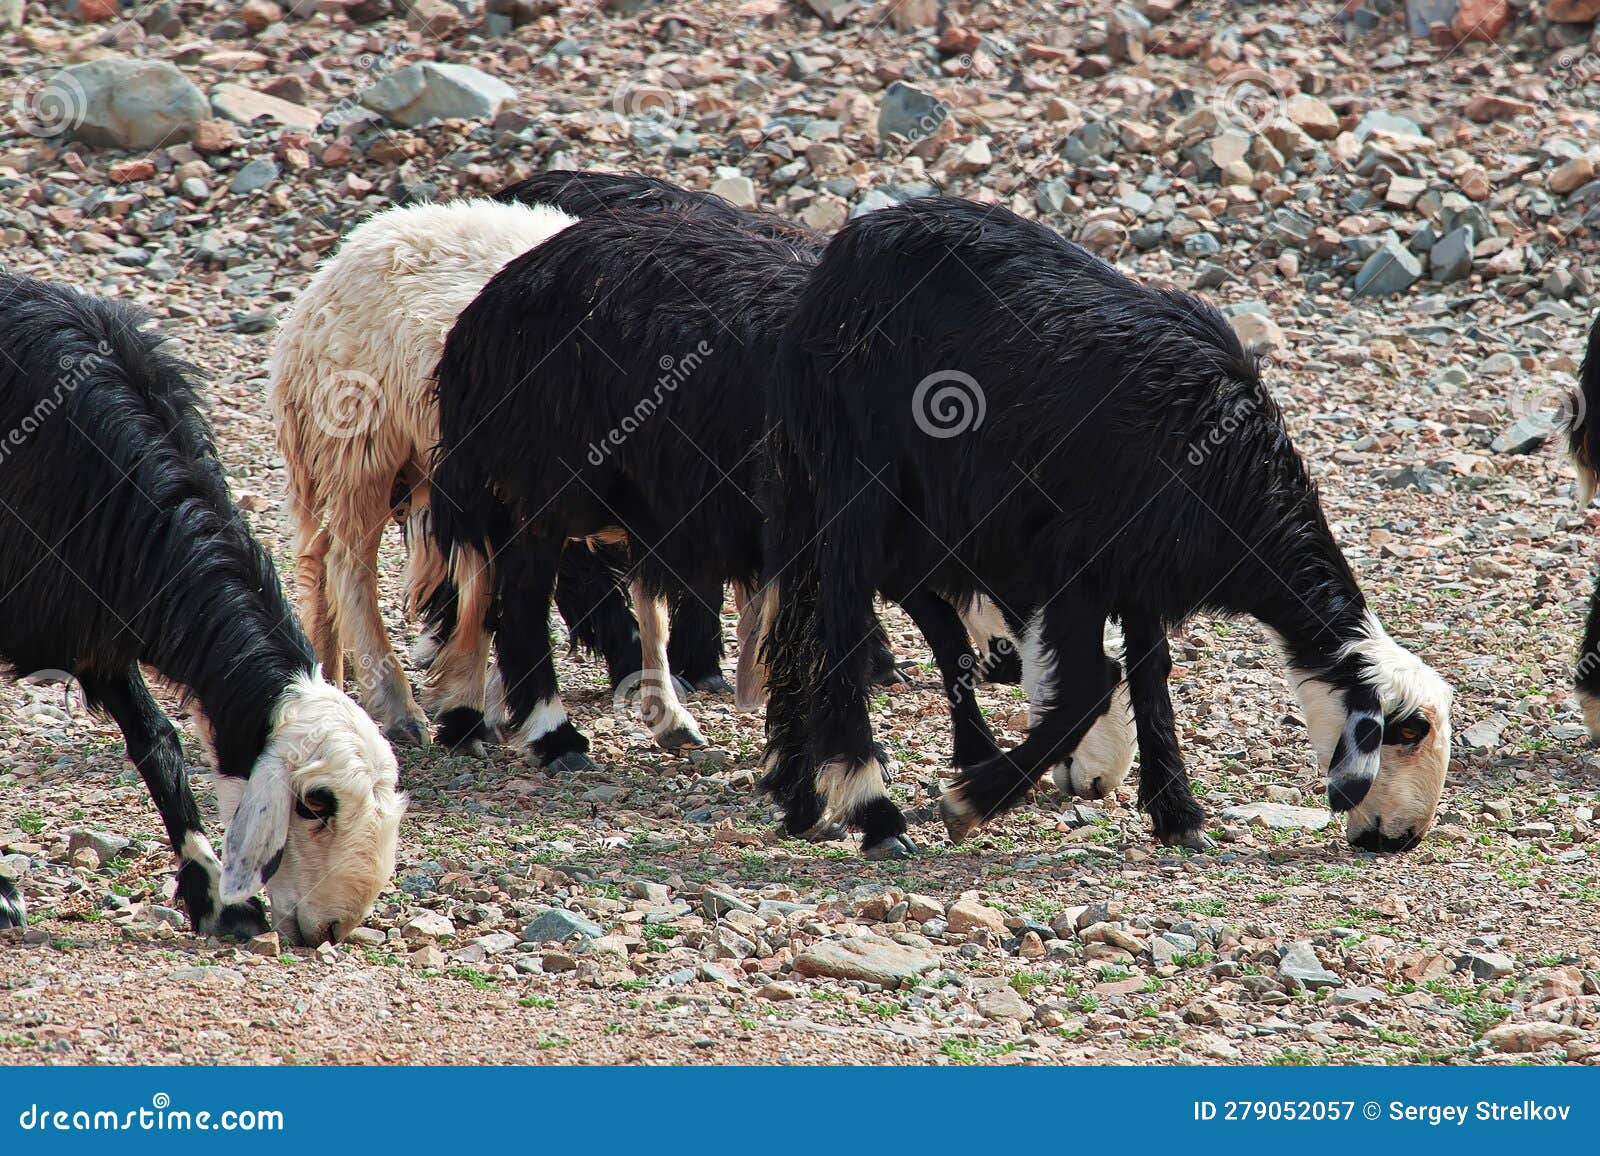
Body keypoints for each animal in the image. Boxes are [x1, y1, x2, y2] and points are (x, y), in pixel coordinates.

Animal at [0, 275, 405, 944]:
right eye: (314, 804)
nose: (330, 930)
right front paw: (4, 894)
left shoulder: (97, 629)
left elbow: (160, 741)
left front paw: (216, 898)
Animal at [431, 206, 1133, 810]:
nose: (1102, 781)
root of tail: (494, 302)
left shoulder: (899, 550)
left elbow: (940, 636)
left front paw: (964, 753)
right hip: (545, 484)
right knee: (522, 593)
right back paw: (552, 734)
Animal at [760, 198, 1453, 858]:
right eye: (1409, 733)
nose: (1402, 839)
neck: (1230, 476)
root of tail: (848, 248)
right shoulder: (1076, 562)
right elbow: (1094, 683)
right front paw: (971, 803)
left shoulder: (1141, 570)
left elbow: (1150, 671)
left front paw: (1177, 814)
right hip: (859, 473)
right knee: (841, 615)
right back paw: (873, 808)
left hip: (870, 494)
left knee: (848, 608)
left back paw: (823, 790)